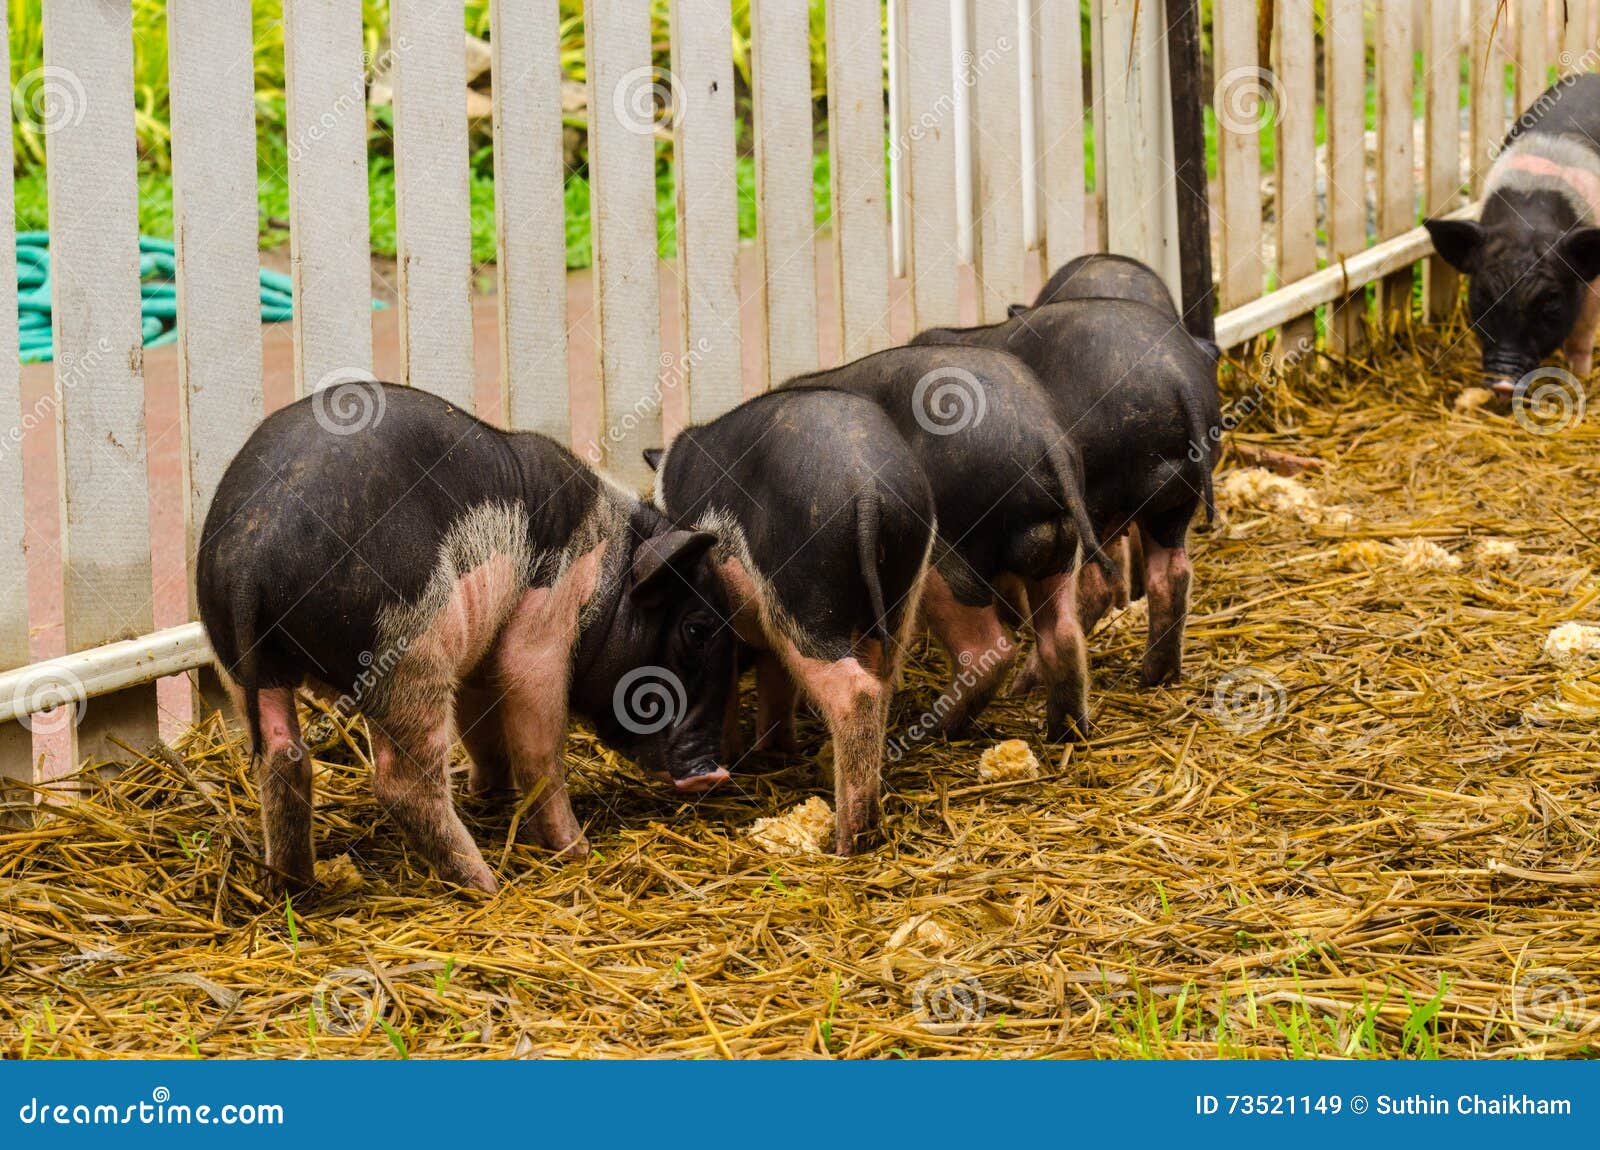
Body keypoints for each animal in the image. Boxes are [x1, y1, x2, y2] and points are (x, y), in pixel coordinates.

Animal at [196, 382, 735, 894]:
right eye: (697, 628)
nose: (715, 772)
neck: (610, 570)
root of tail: (250, 555)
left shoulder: (481, 652)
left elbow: (482, 726)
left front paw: (489, 791)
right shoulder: (540, 628)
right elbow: (539, 744)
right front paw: (575, 850)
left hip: (240, 664)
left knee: (283, 758)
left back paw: (296, 887)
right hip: (409, 653)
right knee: (402, 783)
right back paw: (486, 883)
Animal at [647, 388, 936, 854]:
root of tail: (868, 489)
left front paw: (736, 754)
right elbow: (775, 679)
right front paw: (773, 750)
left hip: (804, 595)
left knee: (855, 692)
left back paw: (848, 842)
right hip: (900, 588)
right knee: (880, 680)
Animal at [775, 345, 1111, 741]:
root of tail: (1045, 438)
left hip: (949, 554)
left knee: (989, 649)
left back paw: (933, 730)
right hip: (1062, 546)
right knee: (1062, 632)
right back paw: (1065, 732)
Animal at [912, 298, 1220, 687]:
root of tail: (1179, 378)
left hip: (1096, 500)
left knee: (1097, 587)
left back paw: (1026, 683)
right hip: (1176, 497)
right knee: (1172, 572)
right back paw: (1155, 675)